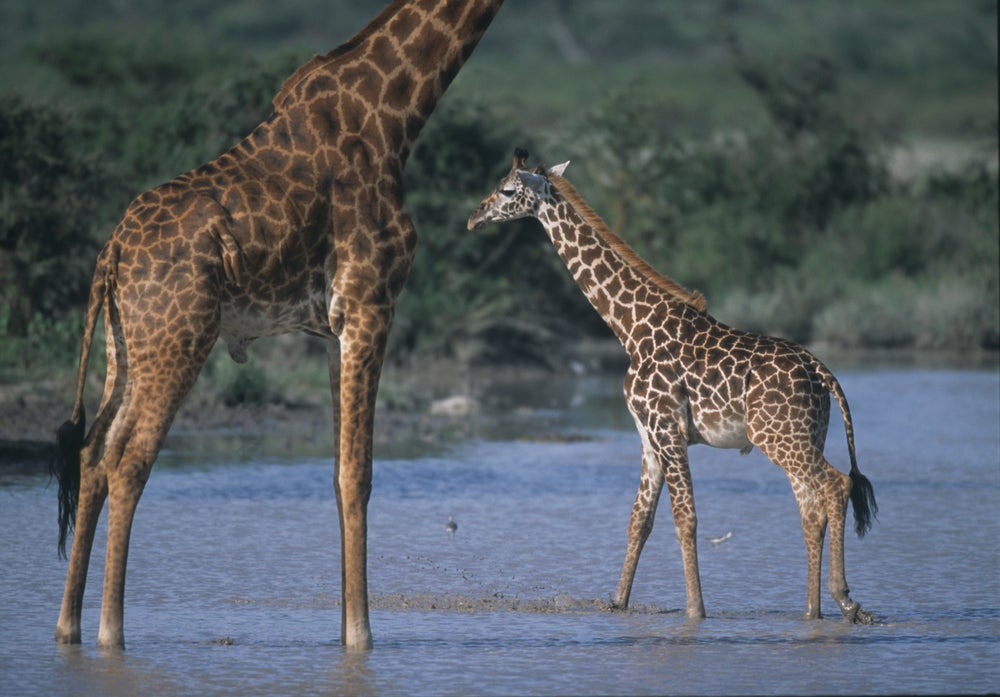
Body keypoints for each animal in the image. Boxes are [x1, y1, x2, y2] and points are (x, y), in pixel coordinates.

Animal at [50, 0, 504, 651]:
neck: (394, 115)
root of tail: (110, 254)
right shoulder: (372, 302)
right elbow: (359, 474)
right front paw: (362, 638)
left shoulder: (333, 329)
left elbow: (338, 475)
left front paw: (344, 635)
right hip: (179, 337)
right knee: (129, 458)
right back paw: (113, 633)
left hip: (125, 341)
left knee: (93, 452)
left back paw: (69, 628)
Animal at [468, 149, 878, 624]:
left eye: (506, 190)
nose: (474, 217)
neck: (630, 329)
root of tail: (821, 371)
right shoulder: (648, 435)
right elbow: (639, 520)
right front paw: (618, 602)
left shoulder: (666, 428)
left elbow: (685, 518)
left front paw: (695, 610)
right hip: (805, 435)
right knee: (811, 509)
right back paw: (813, 612)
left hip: (779, 438)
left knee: (836, 486)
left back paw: (845, 598)